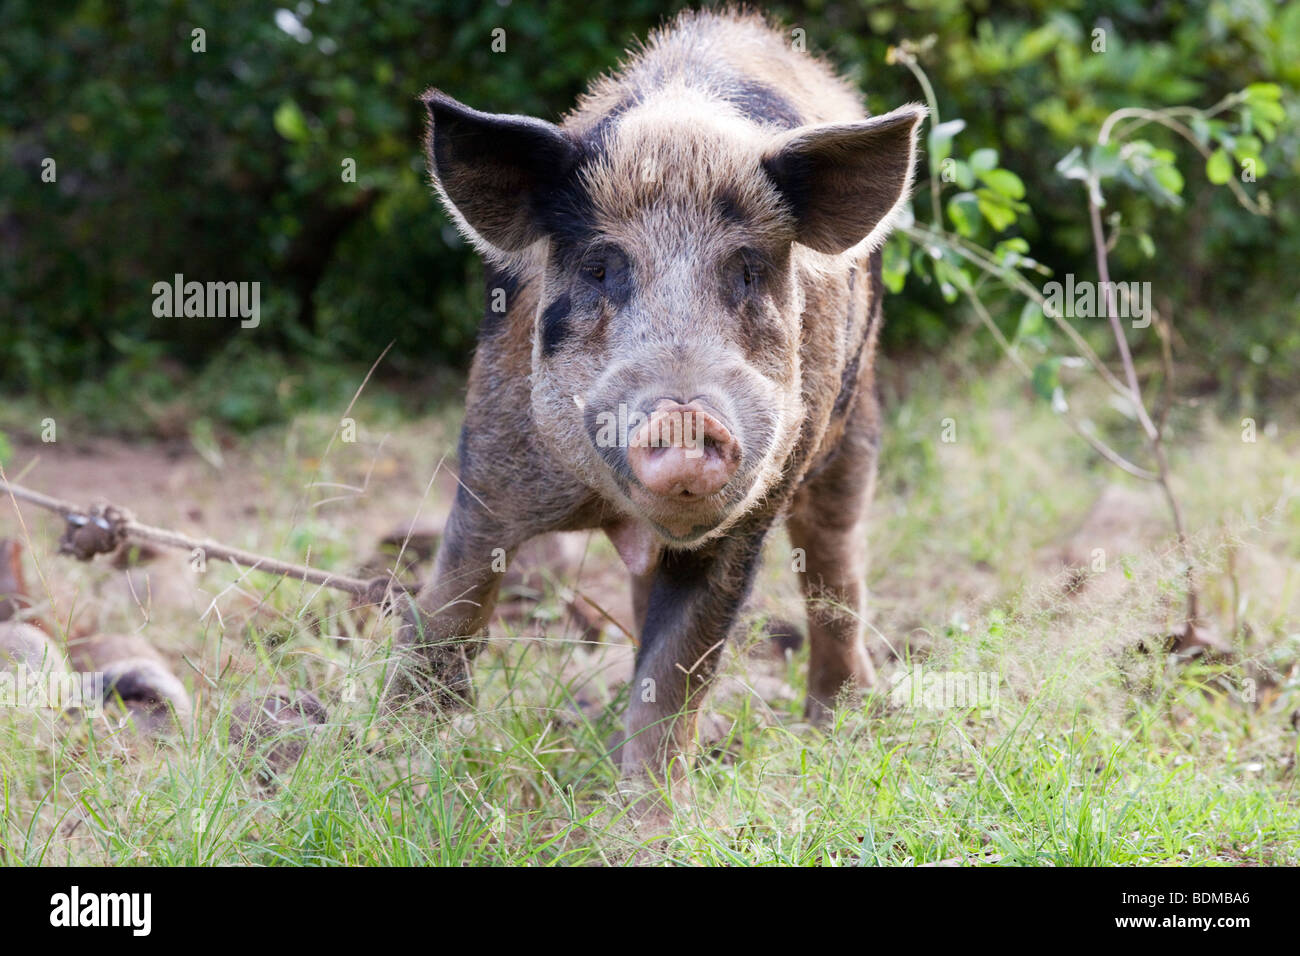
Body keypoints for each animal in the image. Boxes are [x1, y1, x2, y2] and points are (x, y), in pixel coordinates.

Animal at [400, 9, 923, 779]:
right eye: (600, 268)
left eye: (748, 271)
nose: (682, 417)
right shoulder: (491, 459)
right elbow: (448, 612)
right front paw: (385, 754)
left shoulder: (743, 522)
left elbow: (679, 673)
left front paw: (647, 807)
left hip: (853, 428)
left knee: (835, 563)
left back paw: (844, 722)